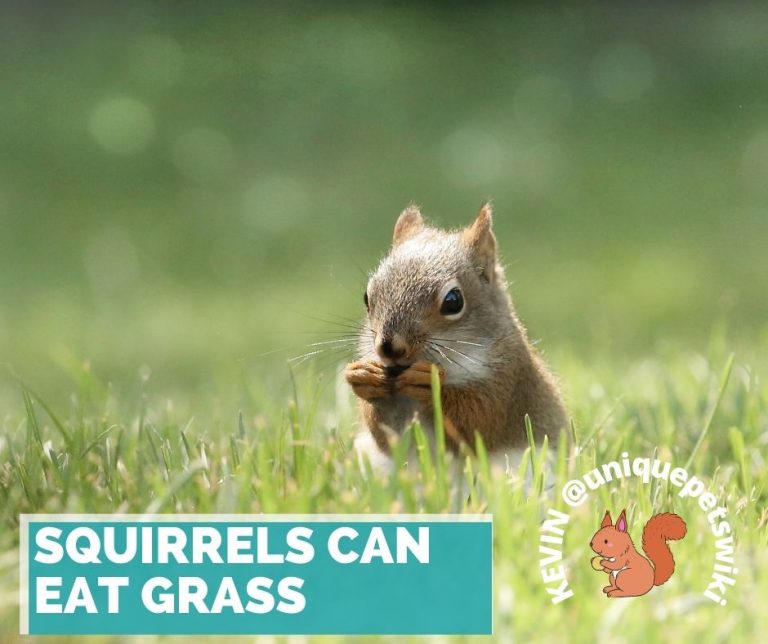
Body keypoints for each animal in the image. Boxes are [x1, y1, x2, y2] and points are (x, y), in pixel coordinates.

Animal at [344, 202, 568, 470]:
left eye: (453, 301)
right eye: (367, 297)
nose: (389, 348)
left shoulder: (508, 381)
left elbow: (476, 423)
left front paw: (430, 383)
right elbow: (387, 437)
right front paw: (363, 375)